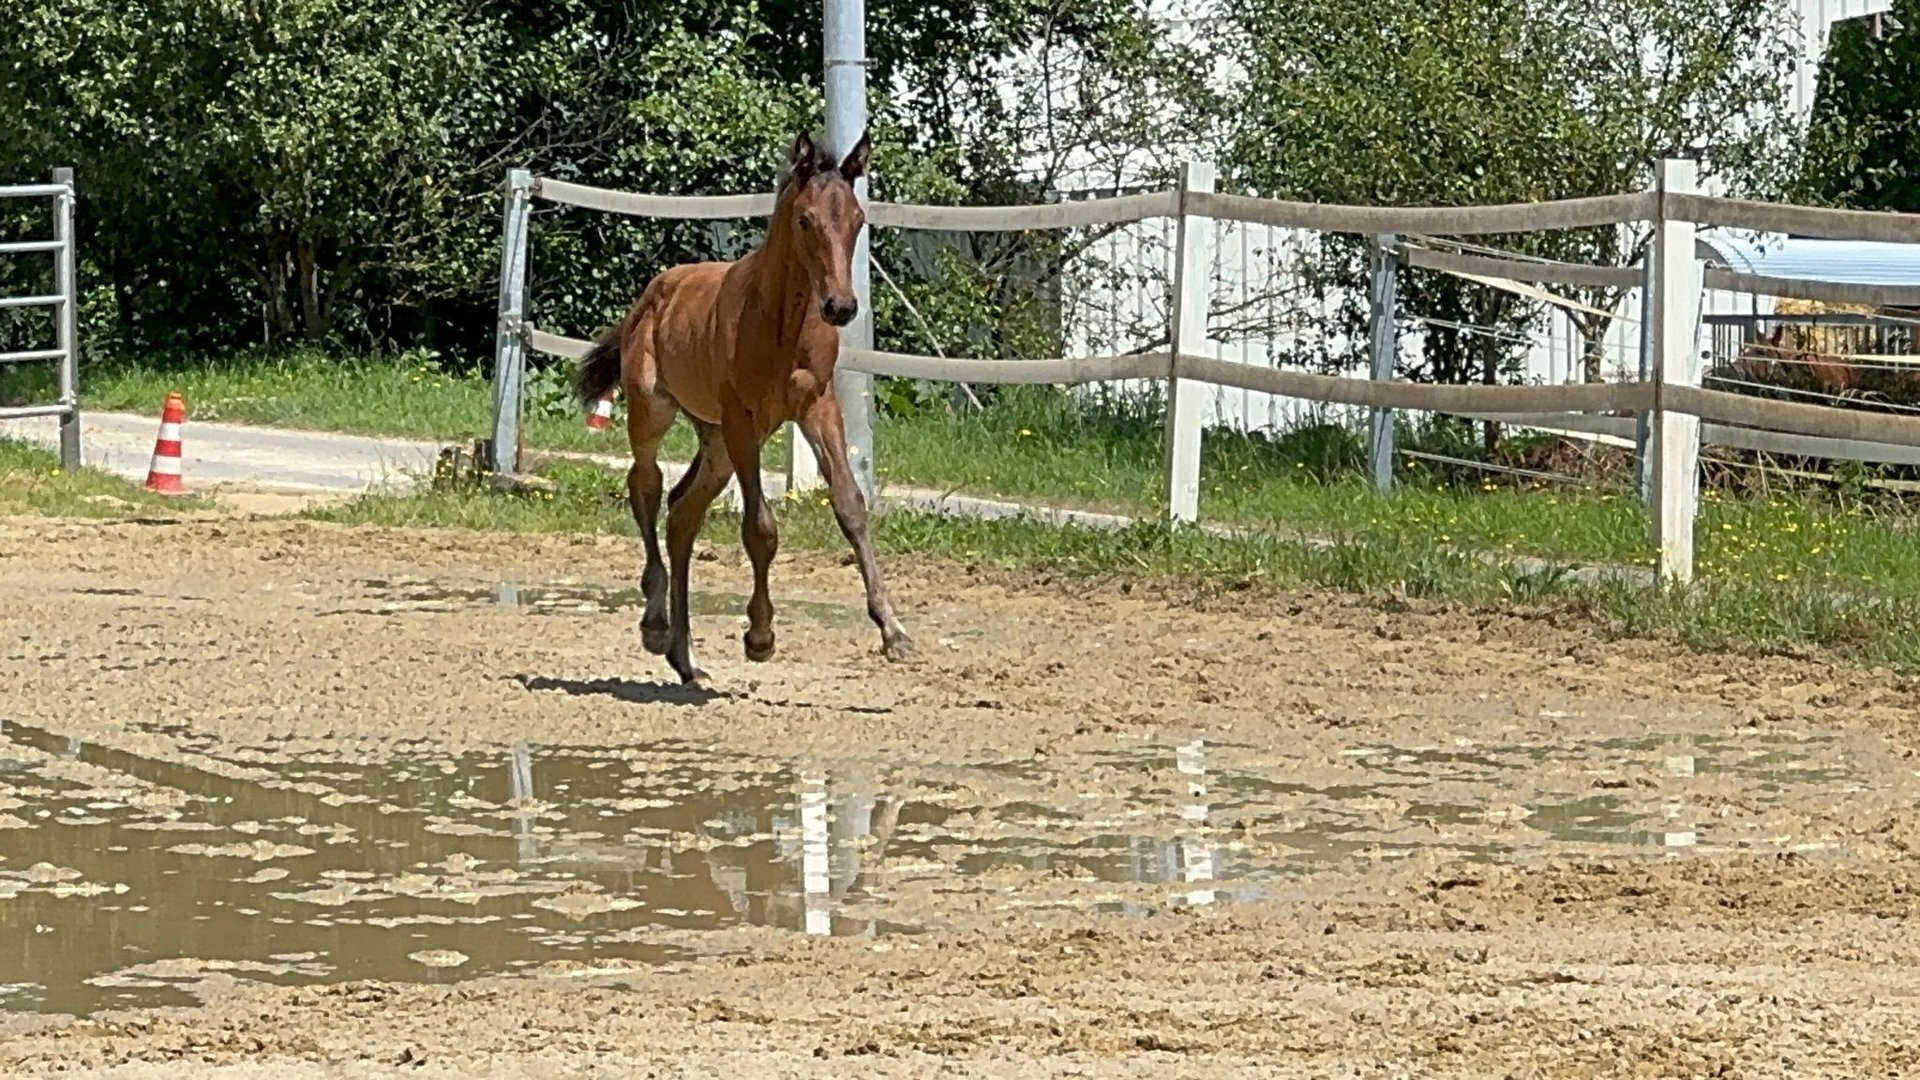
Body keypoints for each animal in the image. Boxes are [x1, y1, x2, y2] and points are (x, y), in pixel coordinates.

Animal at [571, 128, 917, 686]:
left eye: (858, 219)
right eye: (805, 219)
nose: (841, 307)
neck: (782, 320)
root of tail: (652, 293)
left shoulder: (818, 406)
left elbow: (851, 507)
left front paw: (894, 633)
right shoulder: (741, 417)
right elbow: (760, 527)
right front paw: (760, 636)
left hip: (715, 442)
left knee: (683, 512)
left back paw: (685, 657)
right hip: (656, 411)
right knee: (646, 485)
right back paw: (656, 623)